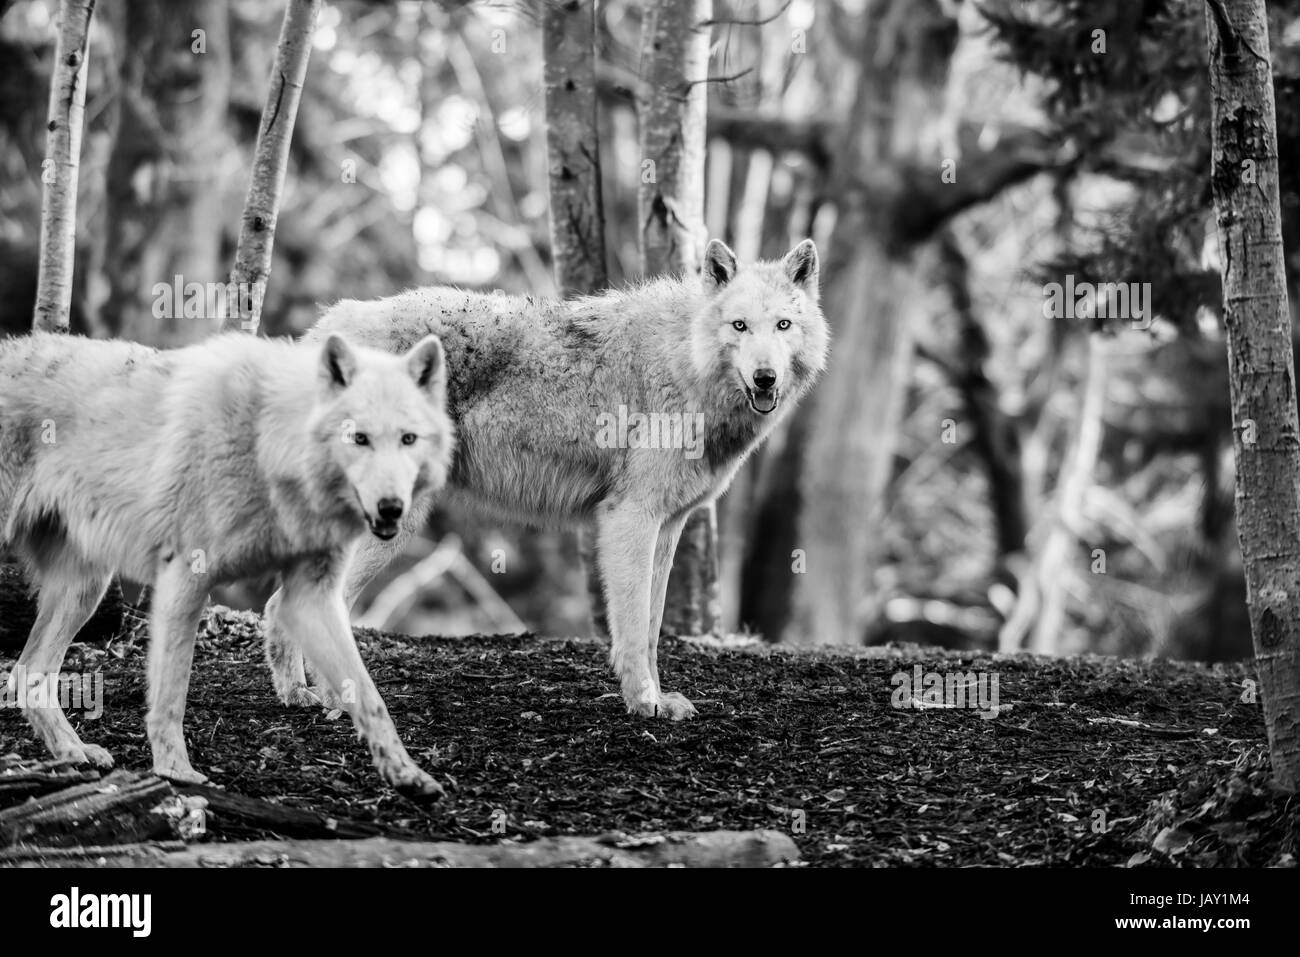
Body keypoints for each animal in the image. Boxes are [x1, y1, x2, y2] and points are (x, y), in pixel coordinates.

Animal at [0, 331, 452, 798]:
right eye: (358, 438)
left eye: (409, 439)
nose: (391, 507)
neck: (268, 443)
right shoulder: (185, 578)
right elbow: (171, 695)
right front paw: (176, 772)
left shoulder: (312, 598)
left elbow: (369, 694)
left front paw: (408, 774)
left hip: (86, 588)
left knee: (27, 672)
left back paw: (74, 753)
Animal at [266, 239, 829, 720]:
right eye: (739, 326)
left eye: (782, 325)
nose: (765, 378)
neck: (683, 360)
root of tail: (327, 326)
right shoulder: (630, 518)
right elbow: (631, 627)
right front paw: (643, 701)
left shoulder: (668, 525)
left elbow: (651, 627)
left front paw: (659, 698)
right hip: (390, 525)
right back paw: (340, 701)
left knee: (279, 605)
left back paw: (297, 695)